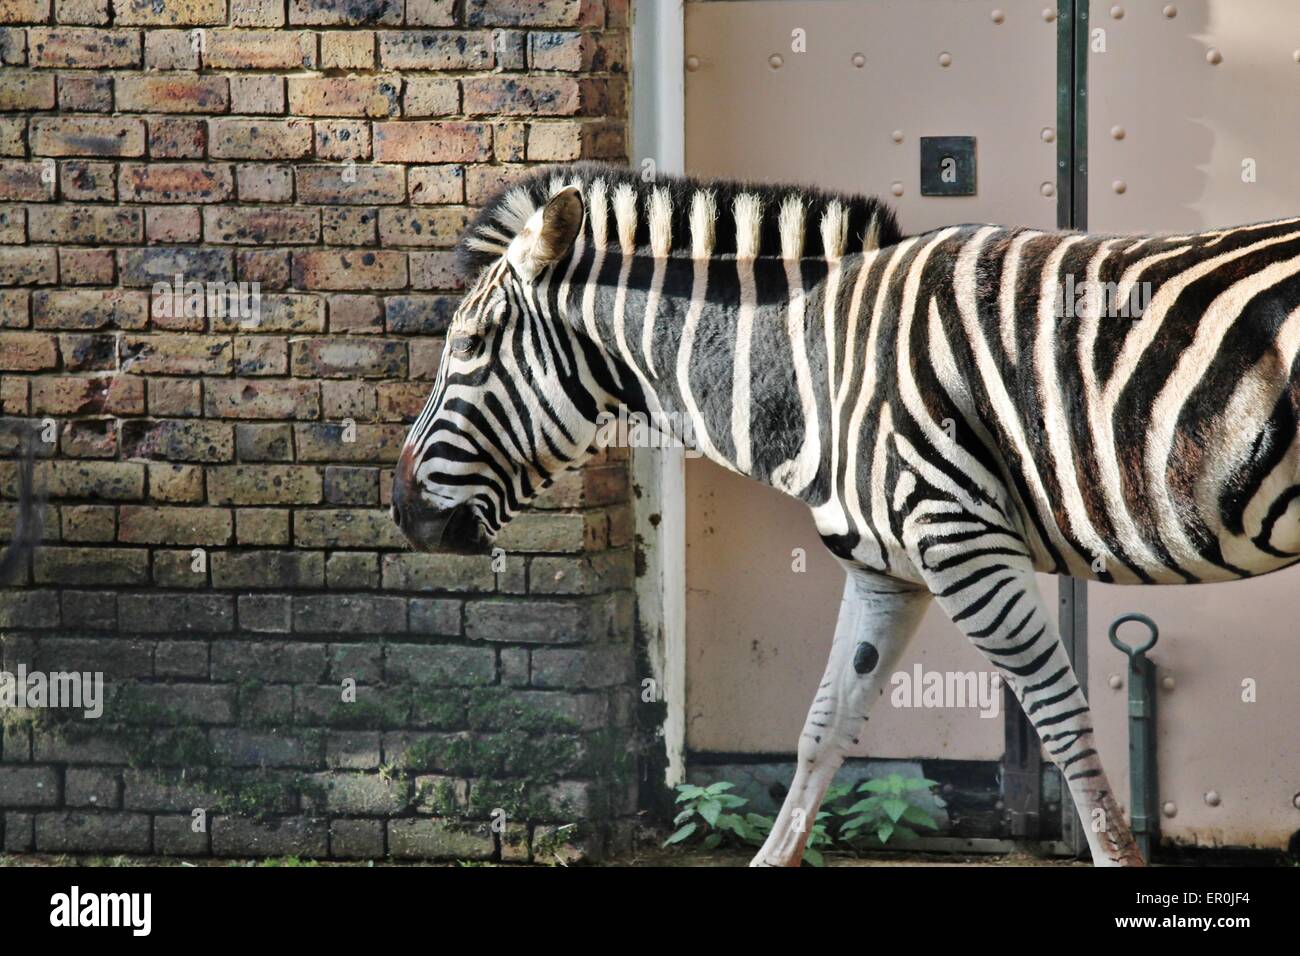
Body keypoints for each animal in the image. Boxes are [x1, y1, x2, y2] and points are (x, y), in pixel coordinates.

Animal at [392, 161, 1300, 867]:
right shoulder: (884, 571)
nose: (403, 512)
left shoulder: (964, 543)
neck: (815, 363)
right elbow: (822, 729)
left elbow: (1065, 725)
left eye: (468, 348)